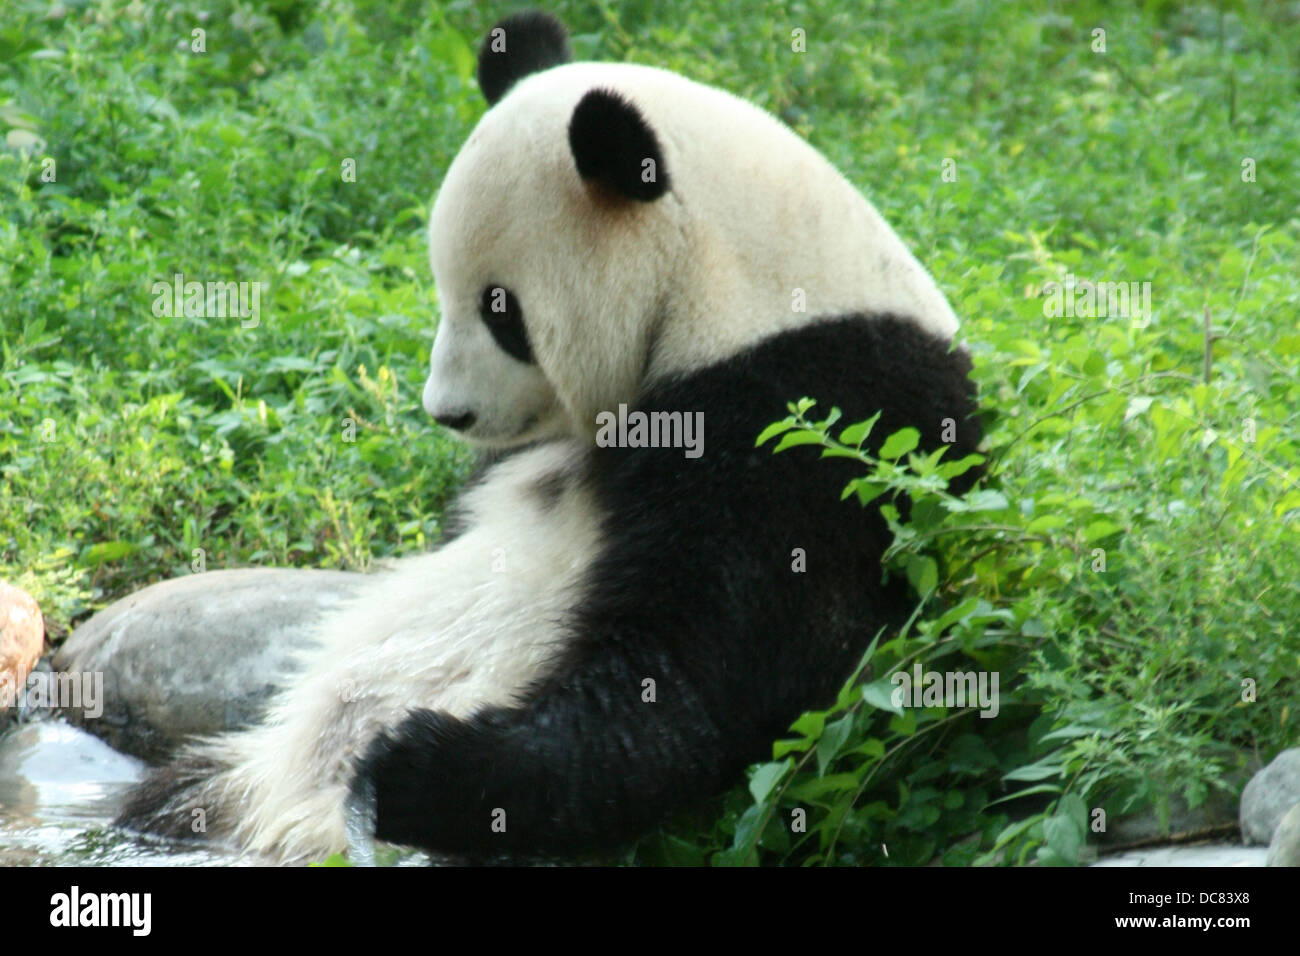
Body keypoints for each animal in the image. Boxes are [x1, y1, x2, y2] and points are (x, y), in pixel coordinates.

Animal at [117, 9, 981, 863]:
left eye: (501, 311)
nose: (448, 413)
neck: (731, 291)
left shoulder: (813, 418)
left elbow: (706, 662)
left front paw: (419, 769)